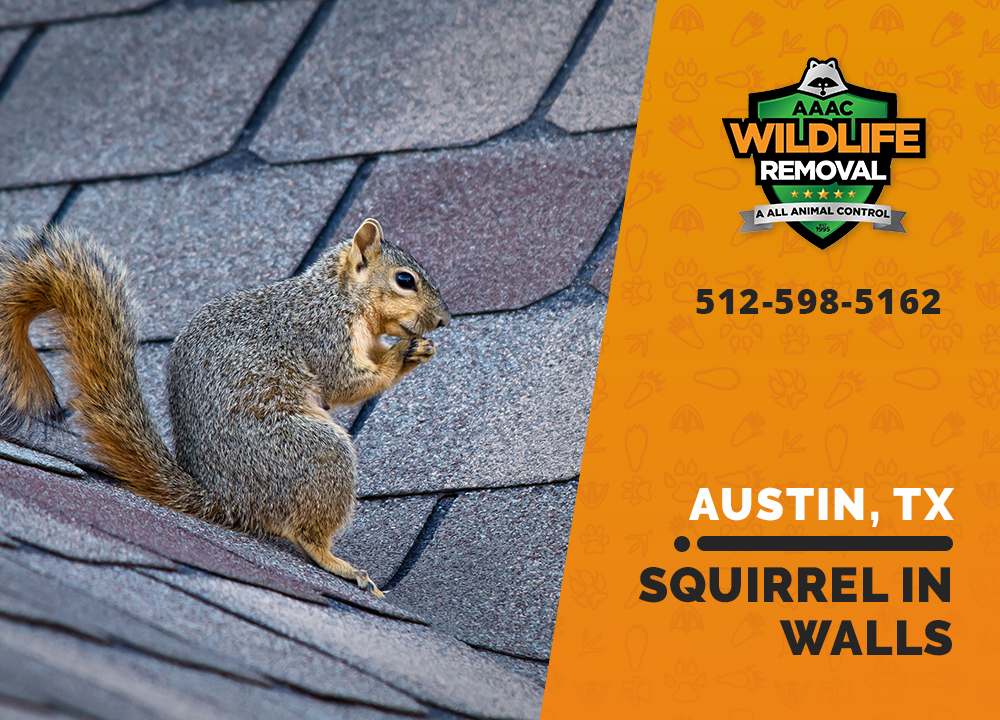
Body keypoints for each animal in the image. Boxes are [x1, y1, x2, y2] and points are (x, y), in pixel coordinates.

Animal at [0, 219, 450, 597]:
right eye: (404, 280)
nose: (444, 319)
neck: (337, 296)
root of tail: (227, 499)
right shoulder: (321, 334)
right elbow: (345, 382)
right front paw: (402, 356)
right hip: (315, 453)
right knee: (306, 533)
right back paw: (337, 562)